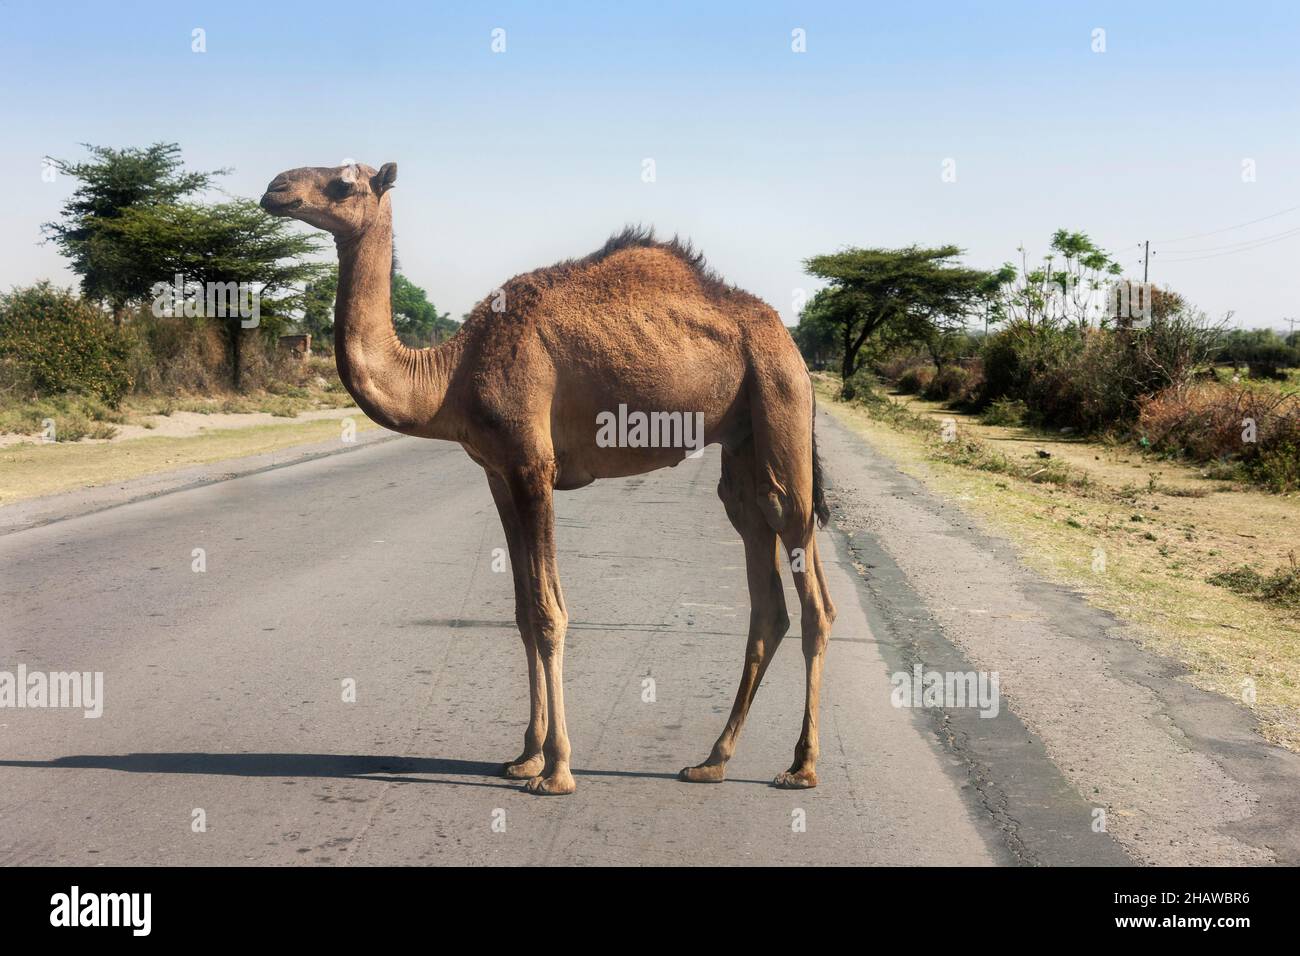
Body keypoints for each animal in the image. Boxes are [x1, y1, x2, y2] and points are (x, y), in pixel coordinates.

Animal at [260, 162, 836, 794]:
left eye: (343, 183)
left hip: (778, 399)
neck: (450, 376)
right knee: (763, 578)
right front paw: (524, 755)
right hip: (741, 443)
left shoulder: (534, 465)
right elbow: (520, 610)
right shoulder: (498, 474)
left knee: (808, 579)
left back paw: (801, 766)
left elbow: (547, 610)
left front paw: (556, 770)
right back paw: (712, 760)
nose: (275, 189)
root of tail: (789, 341)